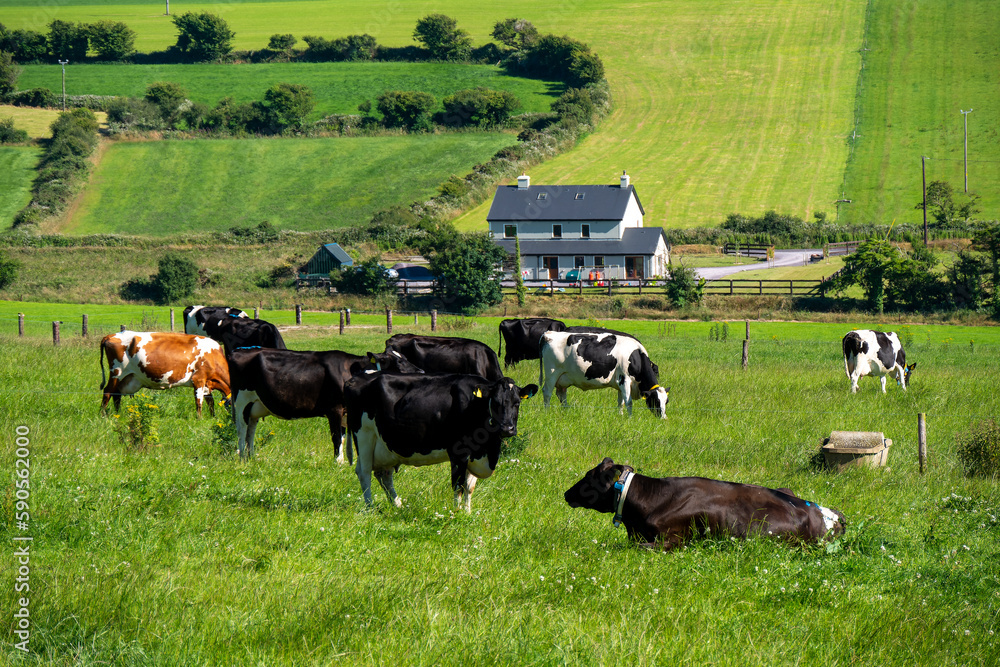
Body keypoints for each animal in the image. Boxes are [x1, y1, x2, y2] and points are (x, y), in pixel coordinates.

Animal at [99, 331, 231, 417]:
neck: (213, 355)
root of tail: (110, 335)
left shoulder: (207, 383)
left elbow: (210, 402)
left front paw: (213, 417)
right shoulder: (199, 379)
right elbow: (199, 402)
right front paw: (199, 419)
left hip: (126, 378)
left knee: (116, 394)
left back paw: (117, 414)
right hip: (117, 373)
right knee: (107, 392)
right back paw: (102, 415)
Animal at [227, 348, 422, 461]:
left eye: (405, 357)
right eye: (399, 361)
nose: (420, 371)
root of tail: (237, 352)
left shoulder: (345, 413)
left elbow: (341, 438)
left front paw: (342, 462)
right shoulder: (334, 409)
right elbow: (336, 438)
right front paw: (337, 464)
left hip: (256, 405)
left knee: (251, 429)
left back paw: (252, 457)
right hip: (241, 400)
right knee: (241, 429)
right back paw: (242, 457)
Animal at [345, 373, 538, 512]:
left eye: (517, 403)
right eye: (496, 402)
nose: (507, 428)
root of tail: (355, 379)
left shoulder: (475, 454)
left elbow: (469, 487)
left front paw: (468, 513)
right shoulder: (459, 452)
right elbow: (458, 485)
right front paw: (456, 514)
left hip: (387, 447)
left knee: (384, 476)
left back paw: (398, 505)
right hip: (364, 436)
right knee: (364, 472)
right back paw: (370, 508)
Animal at [539, 331, 668, 418]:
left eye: (666, 401)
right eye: (656, 401)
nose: (663, 418)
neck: (636, 356)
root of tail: (549, 334)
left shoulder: (620, 384)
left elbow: (621, 402)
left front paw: (620, 416)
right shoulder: (624, 379)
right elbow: (628, 402)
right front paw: (630, 418)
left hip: (563, 378)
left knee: (561, 394)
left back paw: (566, 411)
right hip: (552, 373)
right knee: (547, 393)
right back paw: (546, 412)